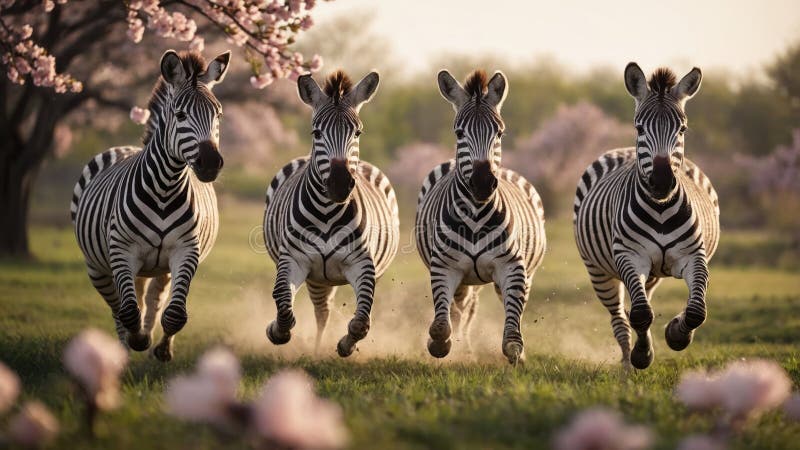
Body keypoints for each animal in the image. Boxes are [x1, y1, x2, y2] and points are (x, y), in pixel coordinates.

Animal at [71, 50, 230, 362]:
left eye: (218, 114)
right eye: (180, 115)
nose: (210, 163)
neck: (165, 189)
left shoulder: (185, 251)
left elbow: (175, 314)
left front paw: (161, 349)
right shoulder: (122, 252)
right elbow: (128, 312)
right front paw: (137, 341)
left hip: (159, 266)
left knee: (154, 299)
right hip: (98, 267)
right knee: (119, 308)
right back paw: (123, 349)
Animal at [263, 70, 399, 357]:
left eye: (358, 132)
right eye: (316, 132)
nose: (339, 184)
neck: (327, 212)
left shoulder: (363, 264)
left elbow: (362, 320)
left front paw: (346, 345)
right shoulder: (293, 259)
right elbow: (284, 306)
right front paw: (275, 331)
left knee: (326, 311)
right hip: (318, 278)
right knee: (321, 312)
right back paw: (315, 349)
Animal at [415, 70, 547, 365]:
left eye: (500, 132)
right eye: (459, 132)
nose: (484, 183)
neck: (476, 213)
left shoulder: (513, 267)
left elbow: (512, 329)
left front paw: (517, 353)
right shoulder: (444, 267)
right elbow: (442, 323)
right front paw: (438, 344)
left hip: (524, 275)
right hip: (464, 278)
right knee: (460, 309)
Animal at [573, 63, 720, 370]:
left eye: (682, 128)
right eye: (639, 127)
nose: (662, 182)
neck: (661, 208)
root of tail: (625, 150)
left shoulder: (694, 257)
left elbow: (696, 311)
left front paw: (676, 333)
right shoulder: (631, 257)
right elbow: (640, 314)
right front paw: (641, 355)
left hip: (652, 274)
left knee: (642, 302)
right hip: (599, 272)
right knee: (620, 316)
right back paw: (627, 362)